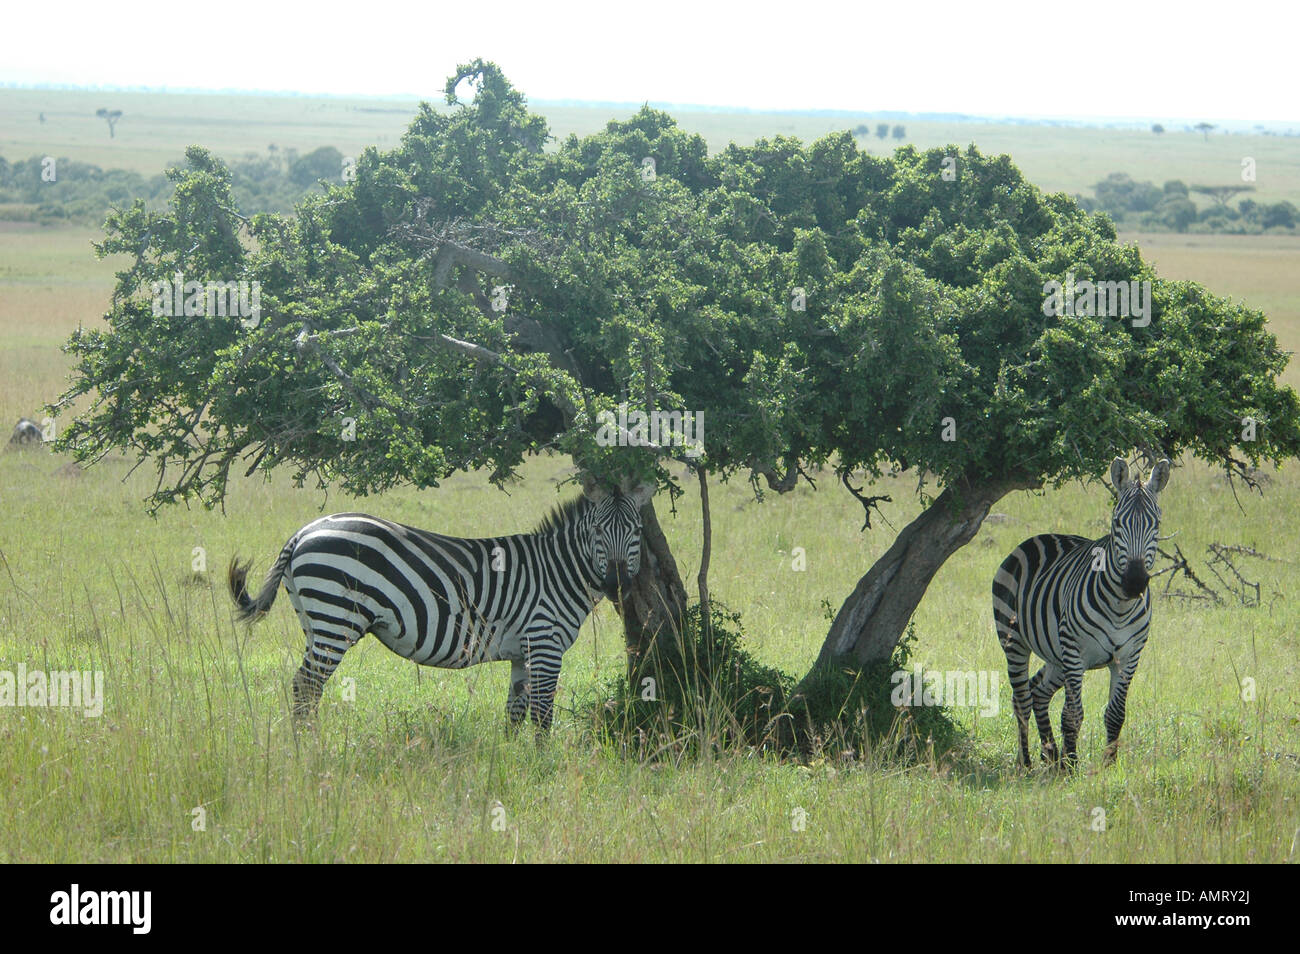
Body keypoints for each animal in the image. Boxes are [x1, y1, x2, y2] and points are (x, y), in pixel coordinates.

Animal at [228, 478, 654, 728]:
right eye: (597, 530)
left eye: (636, 531)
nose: (616, 584)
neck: (557, 570)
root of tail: (304, 531)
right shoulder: (545, 641)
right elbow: (542, 713)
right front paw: (540, 763)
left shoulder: (523, 651)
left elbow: (515, 713)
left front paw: (513, 761)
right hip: (335, 619)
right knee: (306, 686)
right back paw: (309, 750)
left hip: (314, 618)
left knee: (304, 685)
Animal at [992, 457, 1170, 769]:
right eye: (1117, 522)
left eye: (1156, 523)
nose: (1134, 582)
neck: (1120, 607)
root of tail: (1038, 537)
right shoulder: (1075, 653)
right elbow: (1072, 715)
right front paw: (1070, 767)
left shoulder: (1129, 657)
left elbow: (1115, 714)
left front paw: (1108, 765)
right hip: (1015, 641)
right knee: (1022, 699)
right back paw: (1027, 762)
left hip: (1056, 655)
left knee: (1038, 691)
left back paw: (1050, 754)